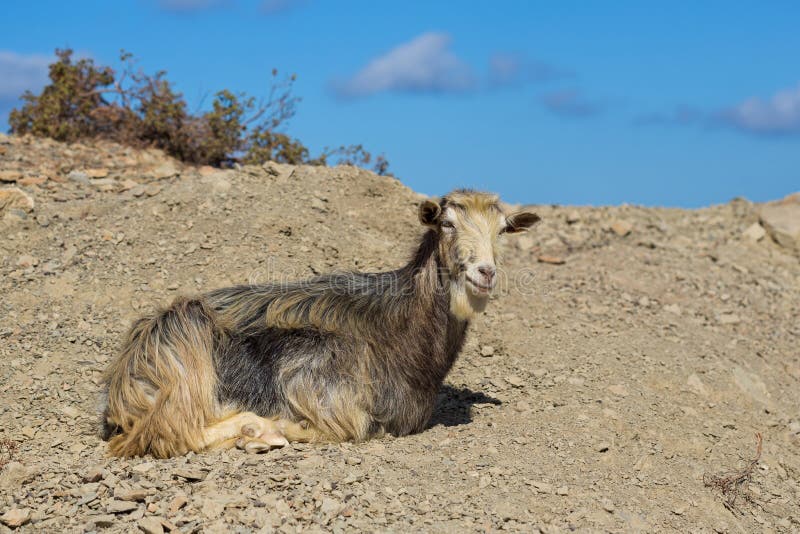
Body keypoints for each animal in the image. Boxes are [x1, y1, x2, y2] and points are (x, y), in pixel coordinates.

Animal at [101, 189, 540, 458]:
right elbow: (353, 427)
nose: (485, 272)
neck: (398, 323)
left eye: (502, 230)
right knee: (169, 432)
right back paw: (259, 430)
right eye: (447, 223)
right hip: (187, 365)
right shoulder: (321, 385)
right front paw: (280, 427)